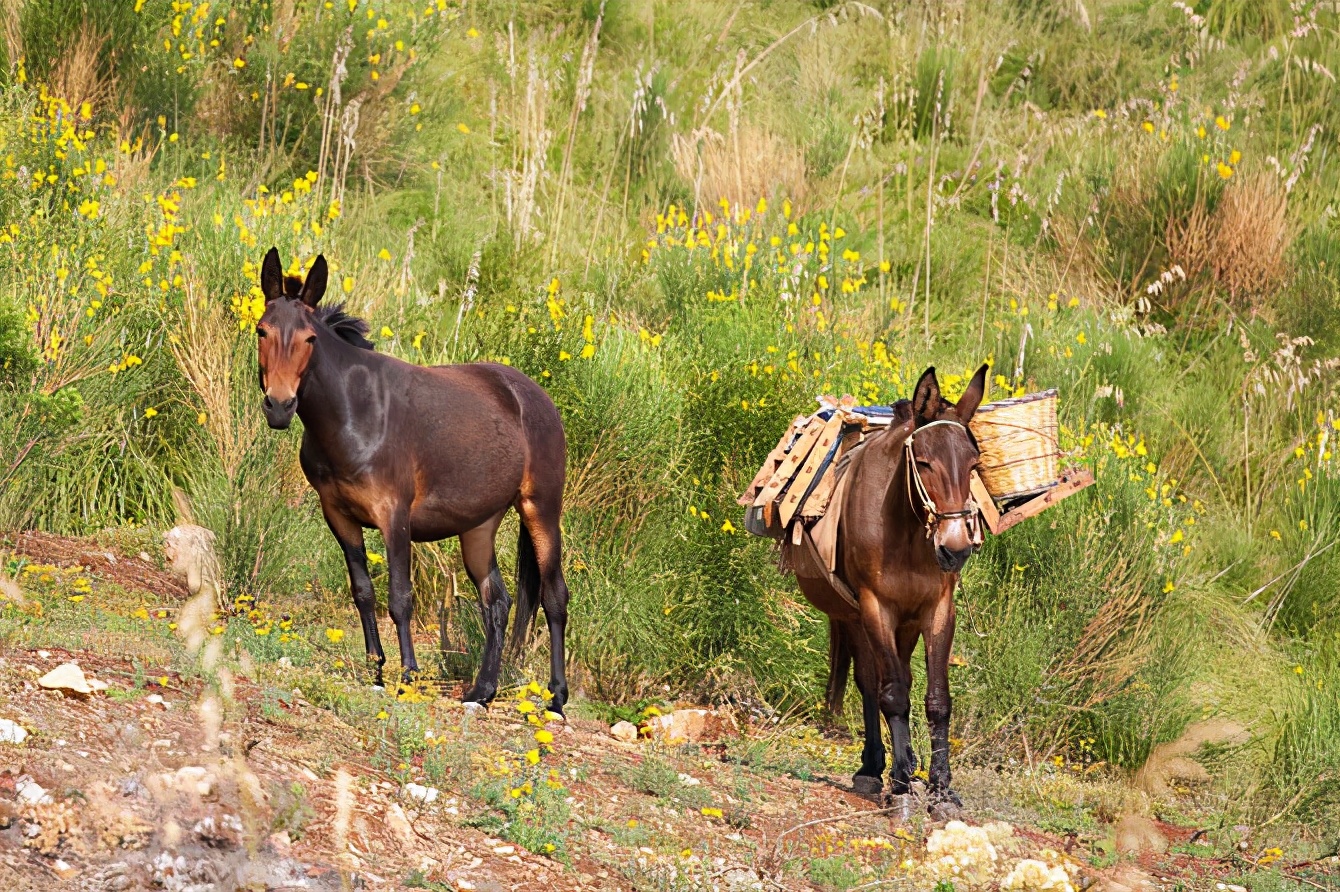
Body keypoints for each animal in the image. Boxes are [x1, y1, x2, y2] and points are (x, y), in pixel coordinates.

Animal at [254, 247, 571, 713]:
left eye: (309, 339)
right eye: (262, 331)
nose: (279, 406)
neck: (355, 412)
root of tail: (535, 396)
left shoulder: (394, 516)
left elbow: (400, 597)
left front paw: (407, 676)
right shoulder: (338, 515)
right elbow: (363, 591)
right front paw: (375, 670)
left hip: (541, 509)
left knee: (554, 597)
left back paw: (556, 696)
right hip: (478, 526)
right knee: (497, 601)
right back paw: (482, 691)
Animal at [793, 365, 988, 813]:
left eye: (973, 464)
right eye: (924, 462)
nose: (955, 549)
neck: (908, 530)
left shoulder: (937, 609)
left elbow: (937, 700)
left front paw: (941, 788)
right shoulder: (875, 607)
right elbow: (892, 693)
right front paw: (899, 784)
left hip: (905, 623)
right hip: (855, 617)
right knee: (872, 682)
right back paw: (874, 768)